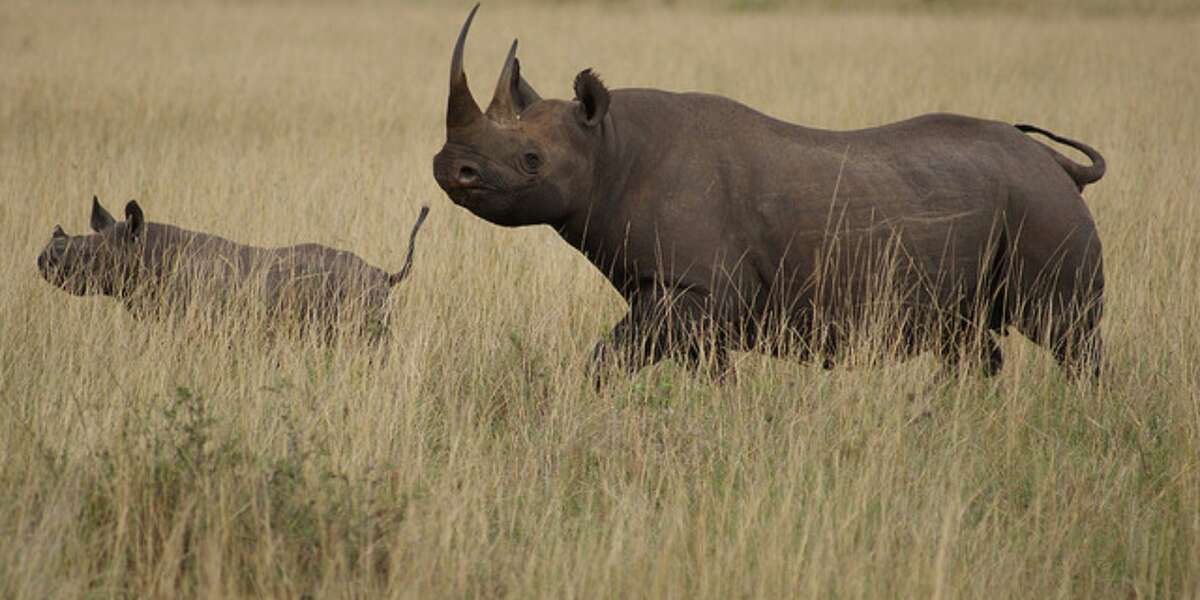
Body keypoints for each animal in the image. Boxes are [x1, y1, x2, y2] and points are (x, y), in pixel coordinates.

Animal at [432, 5, 1106, 381]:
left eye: (530, 162)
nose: (448, 168)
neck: (609, 149)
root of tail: (1058, 166)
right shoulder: (681, 293)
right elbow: (704, 373)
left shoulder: (696, 290)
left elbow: (609, 357)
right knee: (967, 342)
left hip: (1040, 205)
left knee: (1069, 336)